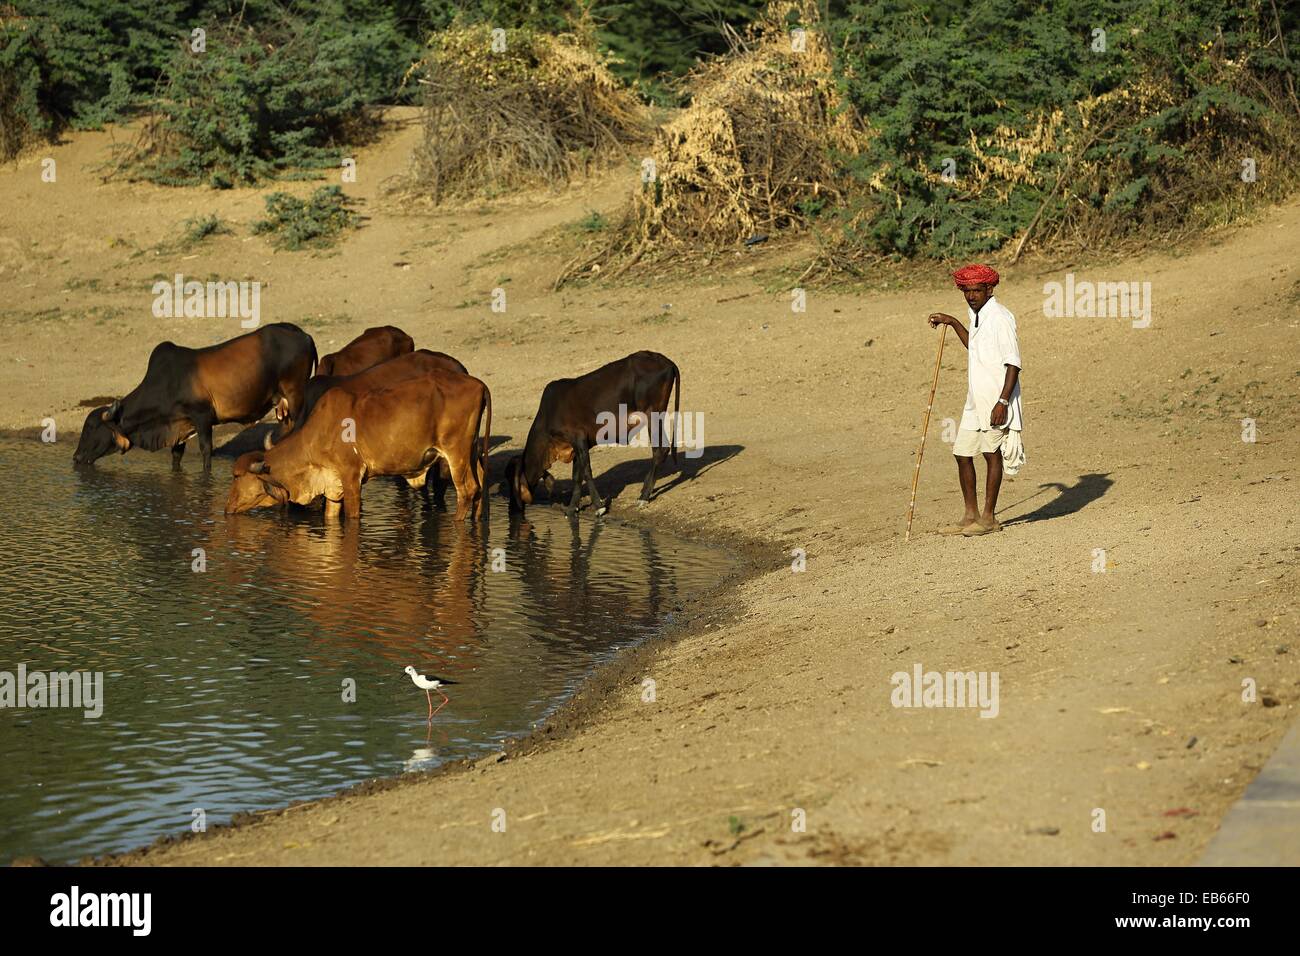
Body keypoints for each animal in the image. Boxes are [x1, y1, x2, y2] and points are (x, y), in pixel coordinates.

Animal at [73, 323, 316, 472]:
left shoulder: (202, 416)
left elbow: (206, 451)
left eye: (91, 428)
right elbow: (176, 455)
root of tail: (304, 335)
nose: (75, 458)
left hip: (295, 394)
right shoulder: (179, 426)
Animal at [225, 358, 491, 522]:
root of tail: (478, 384)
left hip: (456, 453)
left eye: (237, 477)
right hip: (471, 451)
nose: (227, 508)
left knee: (467, 490)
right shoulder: (332, 487)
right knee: (480, 485)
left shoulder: (352, 477)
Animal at [505, 351, 679, 518]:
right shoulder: (575, 446)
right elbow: (577, 476)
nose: (512, 508)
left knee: (660, 450)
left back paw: (644, 496)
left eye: (510, 481)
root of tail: (667, 362)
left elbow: (587, 472)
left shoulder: (578, 438)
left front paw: (599, 506)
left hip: (652, 415)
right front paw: (572, 508)